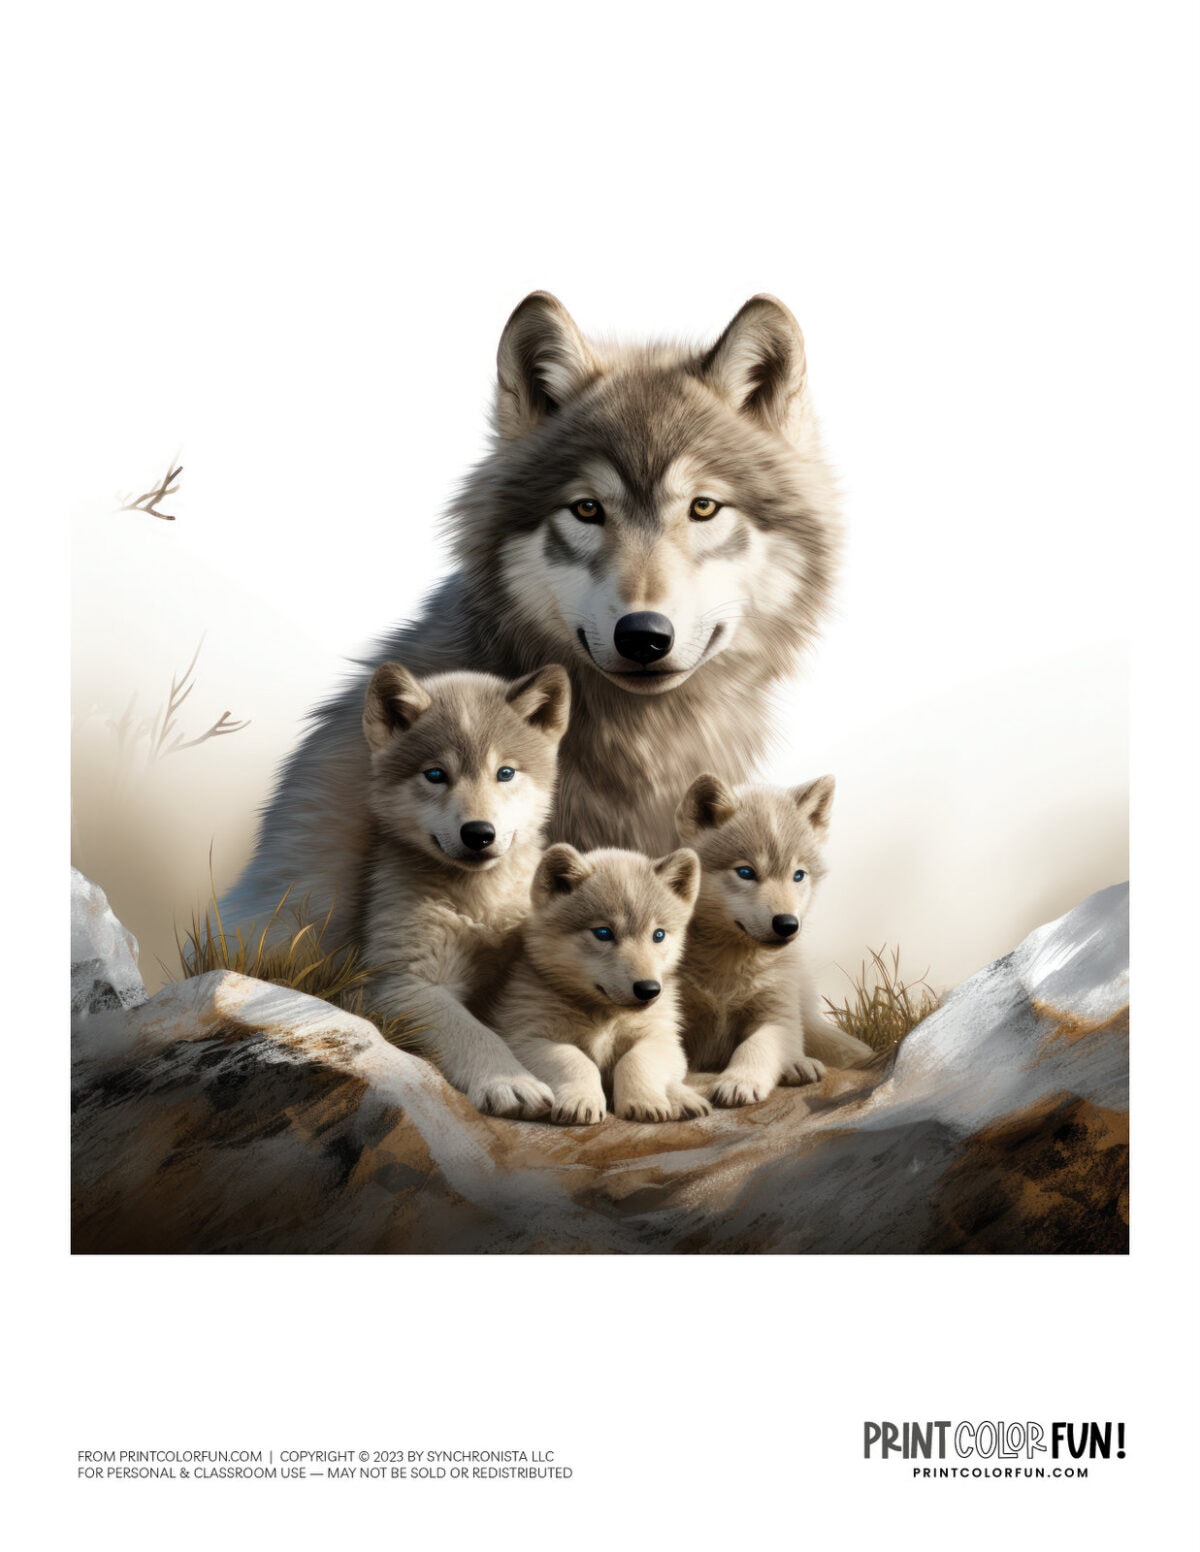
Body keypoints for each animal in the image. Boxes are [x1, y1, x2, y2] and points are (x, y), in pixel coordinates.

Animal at [360, 659, 571, 1117]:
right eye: (436, 775)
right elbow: (474, 1032)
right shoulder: (406, 981)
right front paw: (510, 1082)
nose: (478, 833)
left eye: (505, 773)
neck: (480, 903)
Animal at [490, 844, 710, 1124]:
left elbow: (637, 1058)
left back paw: (683, 1098)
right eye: (603, 933)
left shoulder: (663, 1039)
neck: (606, 1017)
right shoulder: (524, 1038)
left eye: (658, 935)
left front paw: (645, 1101)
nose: (649, 989)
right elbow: (575, 1058)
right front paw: (582, 1100)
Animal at [675, 771, 861, 1105]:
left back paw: (799, 1065)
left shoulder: (777, 1011)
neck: (728, 966)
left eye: (798, 875)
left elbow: (755, 1046)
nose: (787, 924)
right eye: (746, 872)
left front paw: (739, 1082)